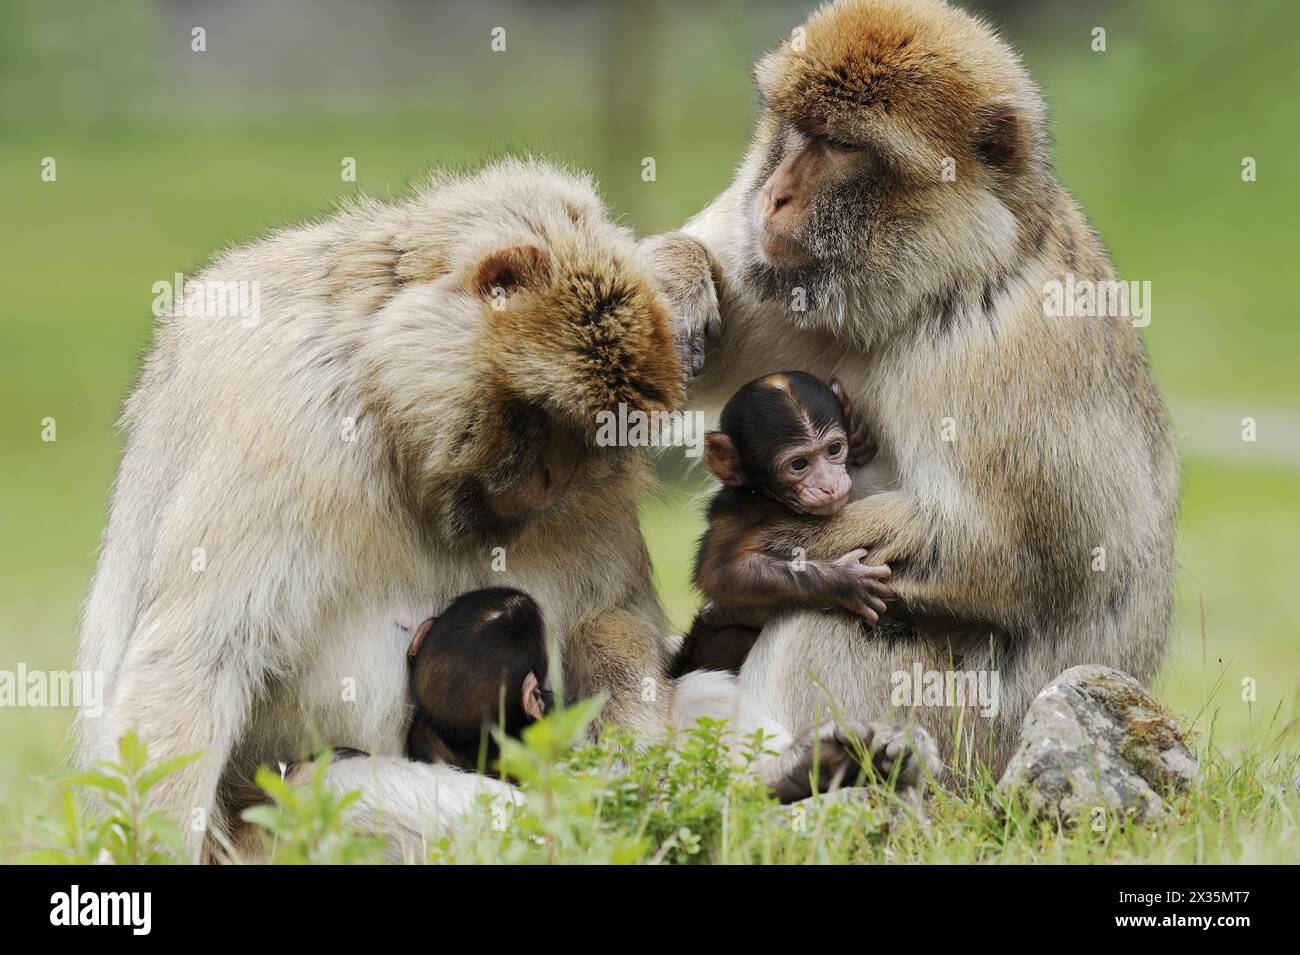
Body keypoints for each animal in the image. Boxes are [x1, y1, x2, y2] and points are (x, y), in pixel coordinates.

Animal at [670, 370, 891, 677]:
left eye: (834, 449)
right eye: (799, 464)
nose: (829, 484)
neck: (767, 496)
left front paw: (859, 438)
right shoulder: (742, 514)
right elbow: (723, 574)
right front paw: (843, 582)